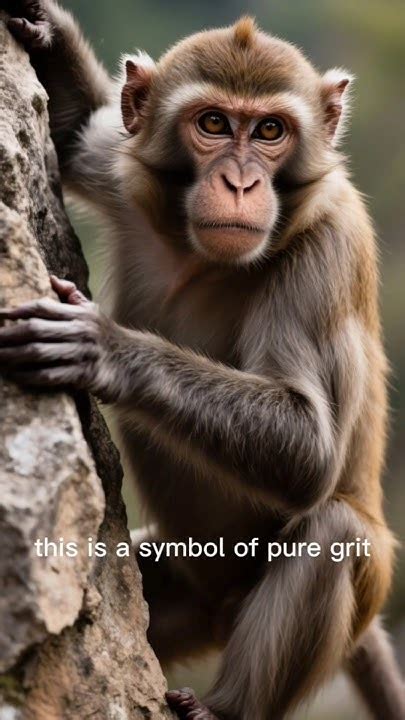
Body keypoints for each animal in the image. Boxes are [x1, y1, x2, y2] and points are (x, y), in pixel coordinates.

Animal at [0, 3, 404, 719]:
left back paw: (226, 708)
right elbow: (76, 135)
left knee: (338, 530)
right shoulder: (128, 172)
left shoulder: (327, 248)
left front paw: (104, 347)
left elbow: (310, 449)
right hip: (173, 596)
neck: (201, 257)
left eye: (270, 130)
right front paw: (44, 30)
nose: (240, 183)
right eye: (213, 124)